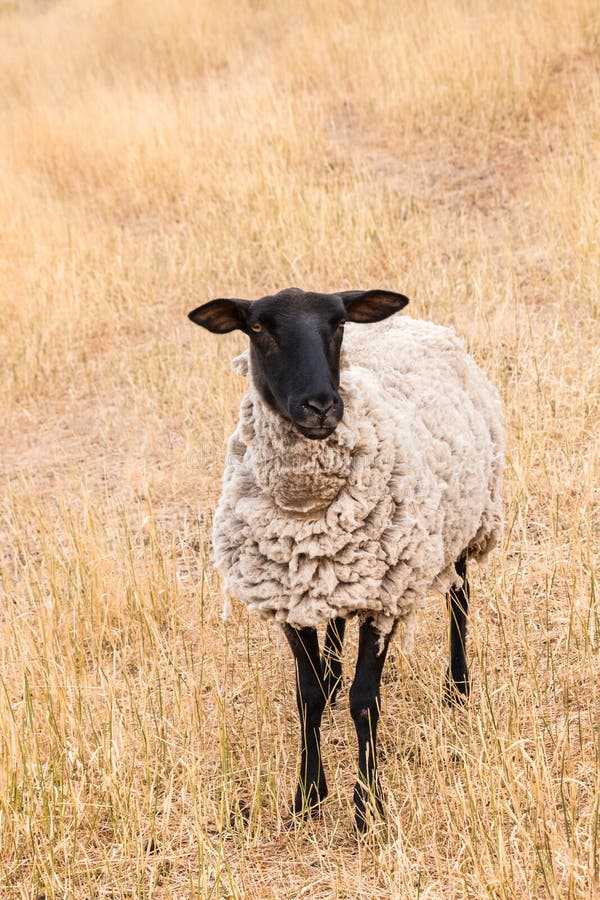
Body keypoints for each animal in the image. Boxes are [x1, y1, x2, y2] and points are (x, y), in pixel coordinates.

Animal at [188, 287, 504, 831]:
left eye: (338, 322)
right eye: (257, 327)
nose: (320, 405)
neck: (309, 510)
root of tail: (413, 322)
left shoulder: (385, 595)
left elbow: (365, 702)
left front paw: (367, 805)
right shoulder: (288, 598)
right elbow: (307, 696)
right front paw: (308, 795)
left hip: (467, 513)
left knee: (460, 596)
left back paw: (458, 685)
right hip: (336, 573)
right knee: (334, 623)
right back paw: (335, 674)